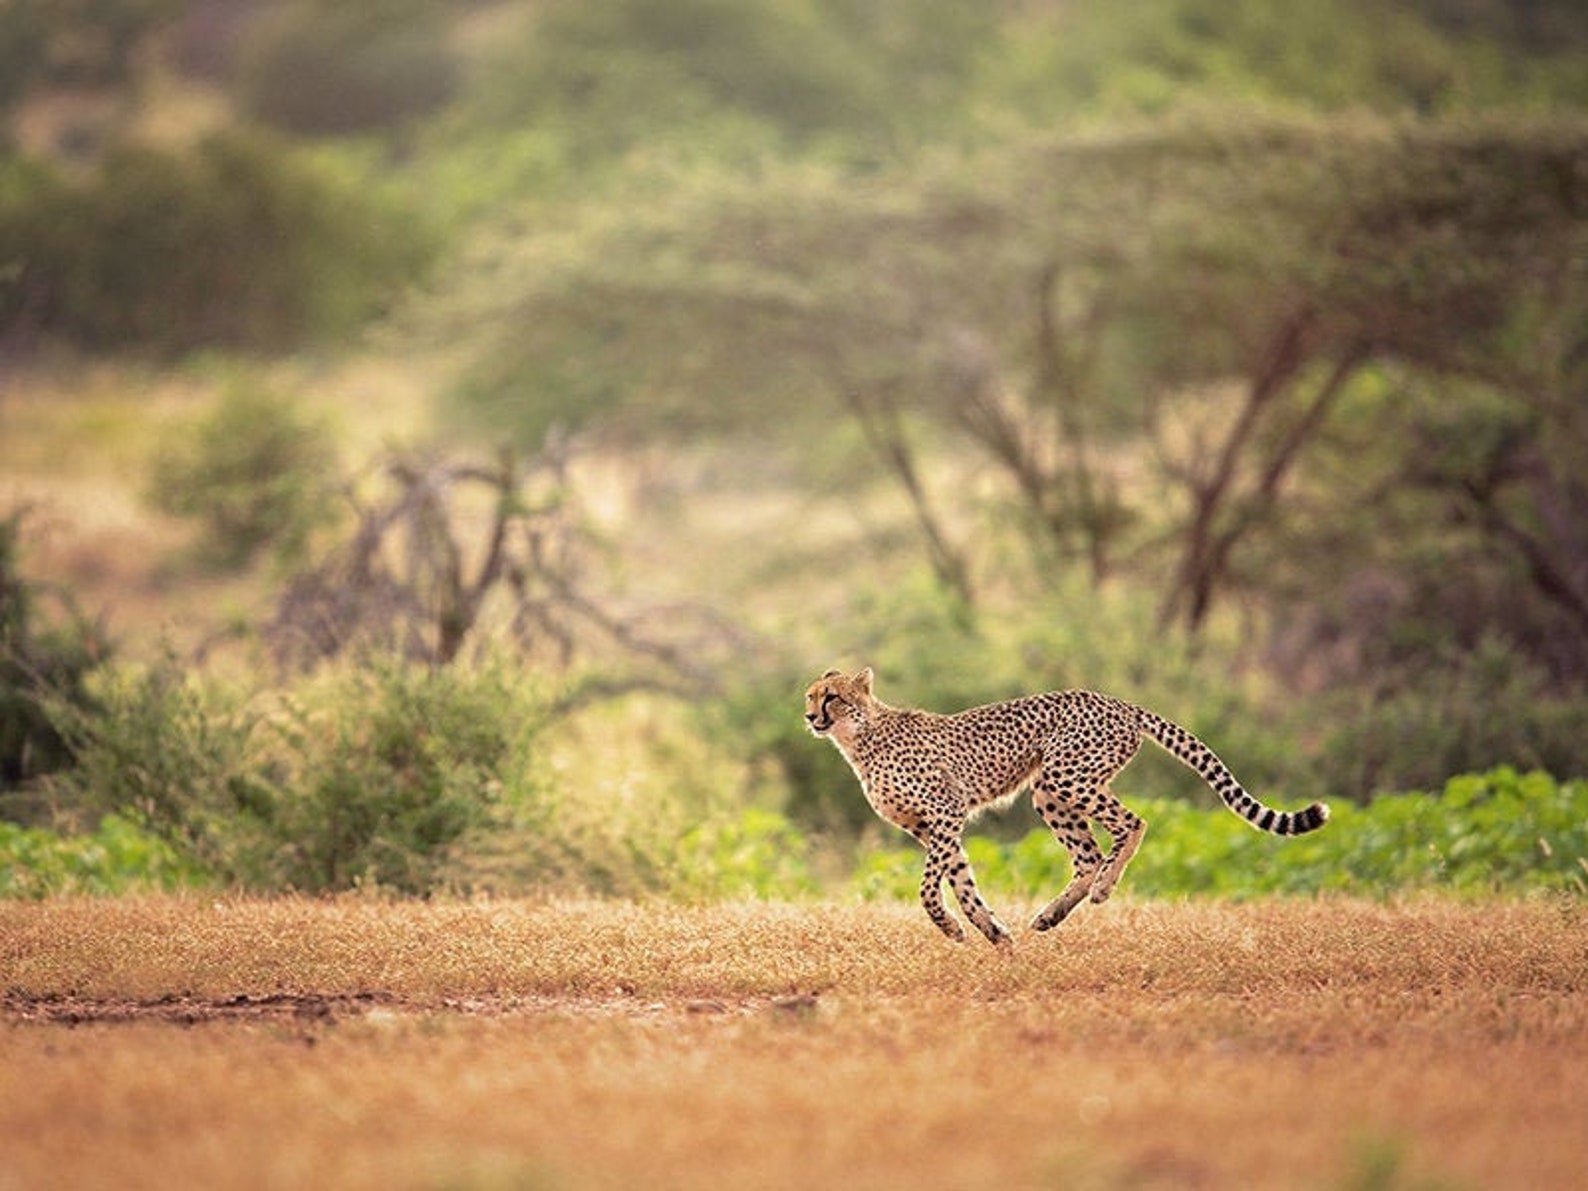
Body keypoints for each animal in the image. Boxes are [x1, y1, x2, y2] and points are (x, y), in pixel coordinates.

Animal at [804, 667, 1329, 946]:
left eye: (833, 697)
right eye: (810, 697)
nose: (810, 717)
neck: (859, 738)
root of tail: (1116, 701)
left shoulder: (946, 813)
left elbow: (929, 889)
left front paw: (951, 926)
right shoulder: (932, 828)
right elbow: (963, 883)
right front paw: (994, 934)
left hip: (1066, 776)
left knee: (1133, 823)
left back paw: (1103, 889)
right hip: (1048, 791)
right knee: (1089, 855)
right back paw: (1051, 915)